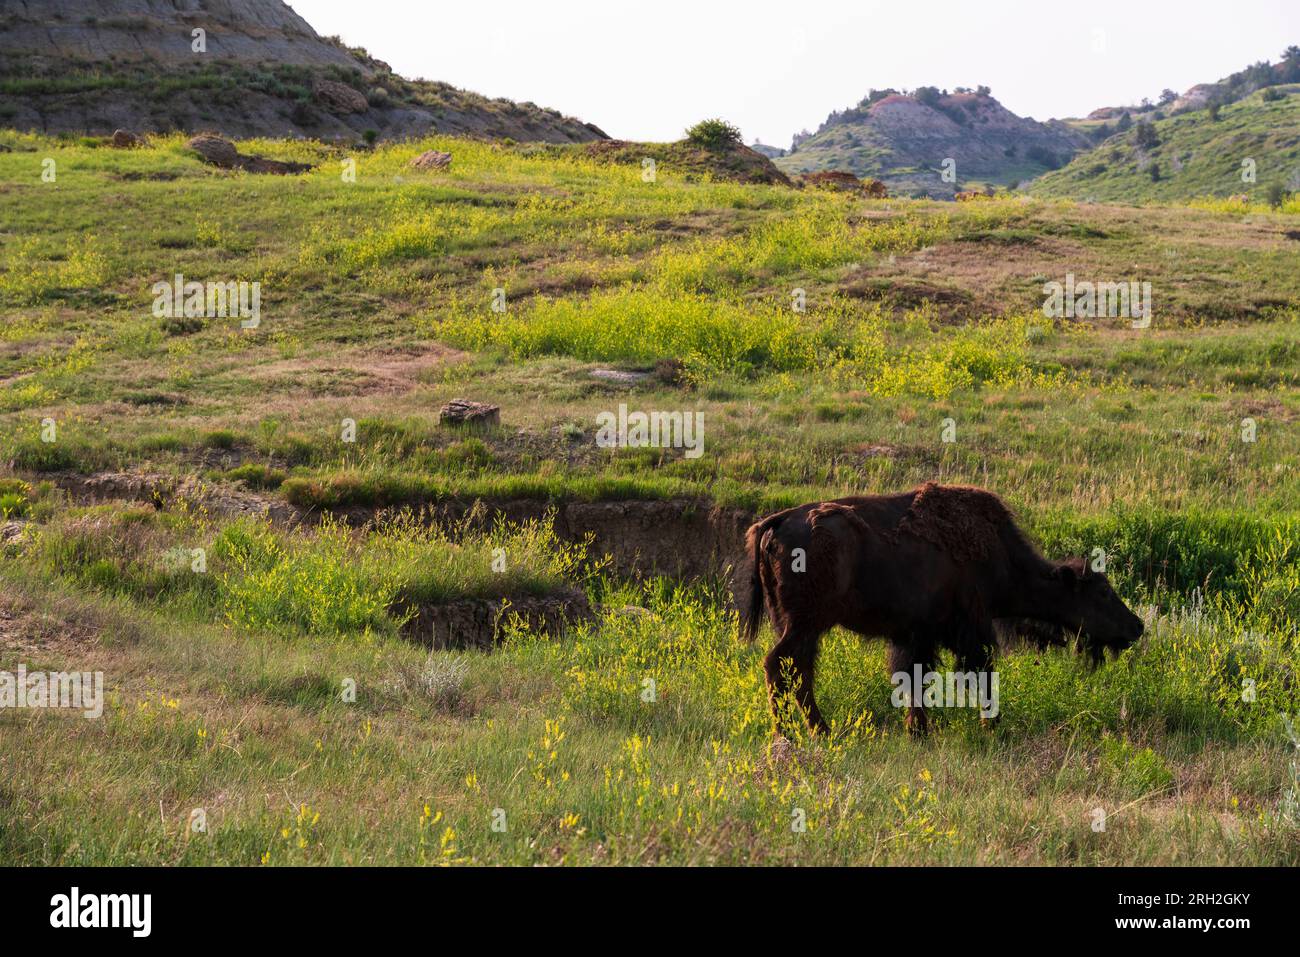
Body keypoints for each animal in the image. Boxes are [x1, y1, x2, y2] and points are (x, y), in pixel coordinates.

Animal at [739, 483, 1144, 735]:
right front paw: (991, 726)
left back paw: (815, 731)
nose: (1137, 626)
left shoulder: (915, 636)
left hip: (799, 626)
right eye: (1102, 592)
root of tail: (776, 521)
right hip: (805, 624)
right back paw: (794, 734)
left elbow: (914, 680)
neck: (998, 553)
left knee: (798, 671)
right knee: (779, 666)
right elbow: (981, 672)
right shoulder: (969, 629)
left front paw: (918, 731)